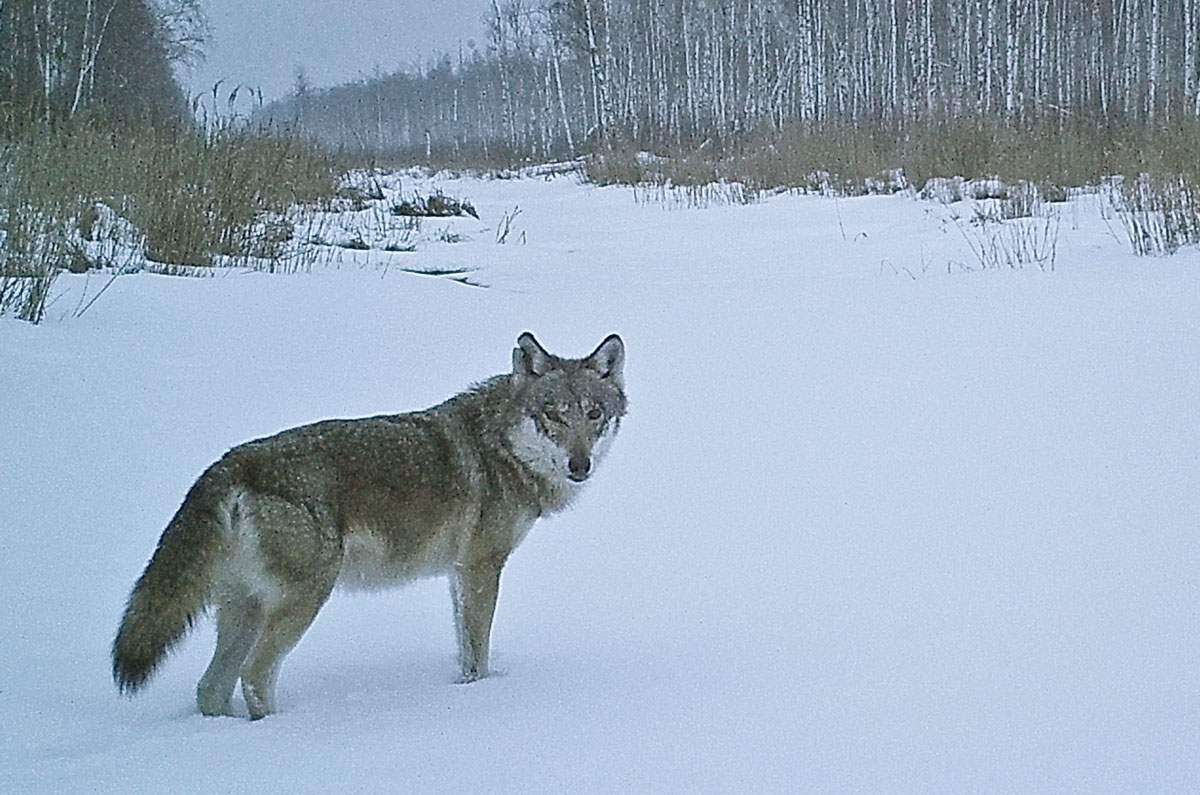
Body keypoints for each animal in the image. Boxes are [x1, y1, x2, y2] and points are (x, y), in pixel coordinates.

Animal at [112, 332, 626, 719]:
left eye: (593, 414)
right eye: (553, 414)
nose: (579, 465)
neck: (500, 448)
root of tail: (231, 464)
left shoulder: (460, 574)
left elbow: (465, 650)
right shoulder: (483, 568)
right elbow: (477, 652)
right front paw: (479, 693)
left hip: (247, 608)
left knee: (210, 688)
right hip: (304, 600)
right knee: (253, 676)